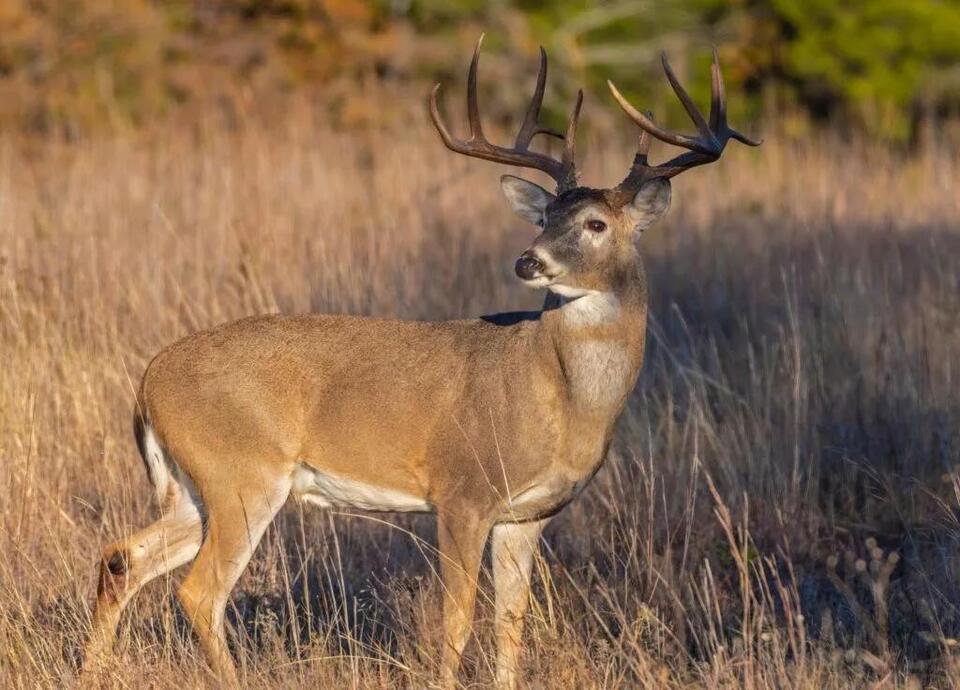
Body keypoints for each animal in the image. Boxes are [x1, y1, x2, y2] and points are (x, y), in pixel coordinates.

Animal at [82, 36, 758, 689]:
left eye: (595, 223)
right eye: (545, 216)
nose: (528, 260)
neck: (558, 396)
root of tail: (147, 383)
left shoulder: (527, 515)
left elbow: (511, 622)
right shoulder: (463, 491)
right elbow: (457, 619)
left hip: (191, 486)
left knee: (121, 557)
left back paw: (95, 669)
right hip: (241, 473)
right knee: (198, 591)